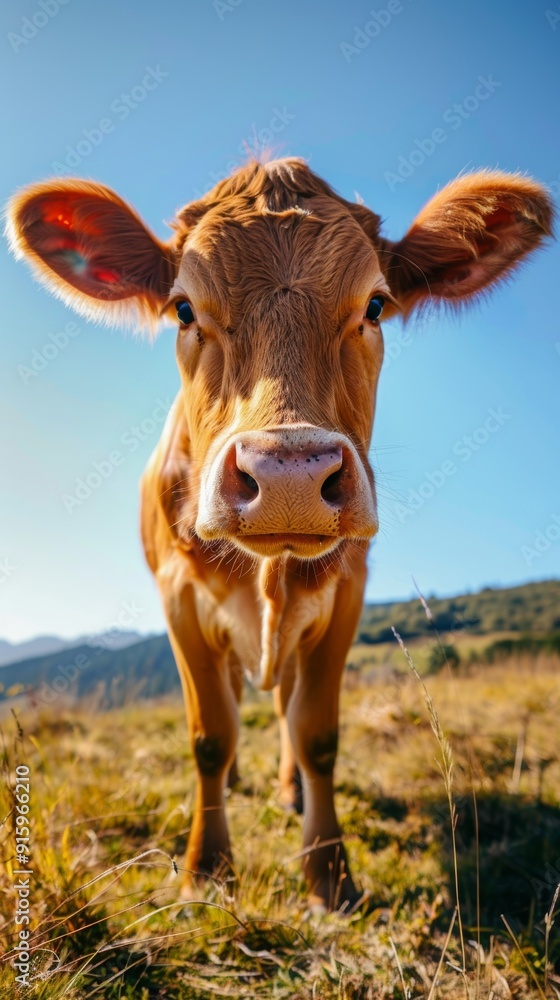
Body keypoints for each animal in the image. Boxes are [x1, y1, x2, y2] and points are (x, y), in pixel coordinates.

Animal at [7, 158, 553, 910]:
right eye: (184, 309)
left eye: (375, 305)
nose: (289, 475)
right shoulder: (179, 599)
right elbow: (210, 733)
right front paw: (206, 868)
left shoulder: (346, 593)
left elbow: (316, 730)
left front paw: (329, 873)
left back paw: (291, 789)